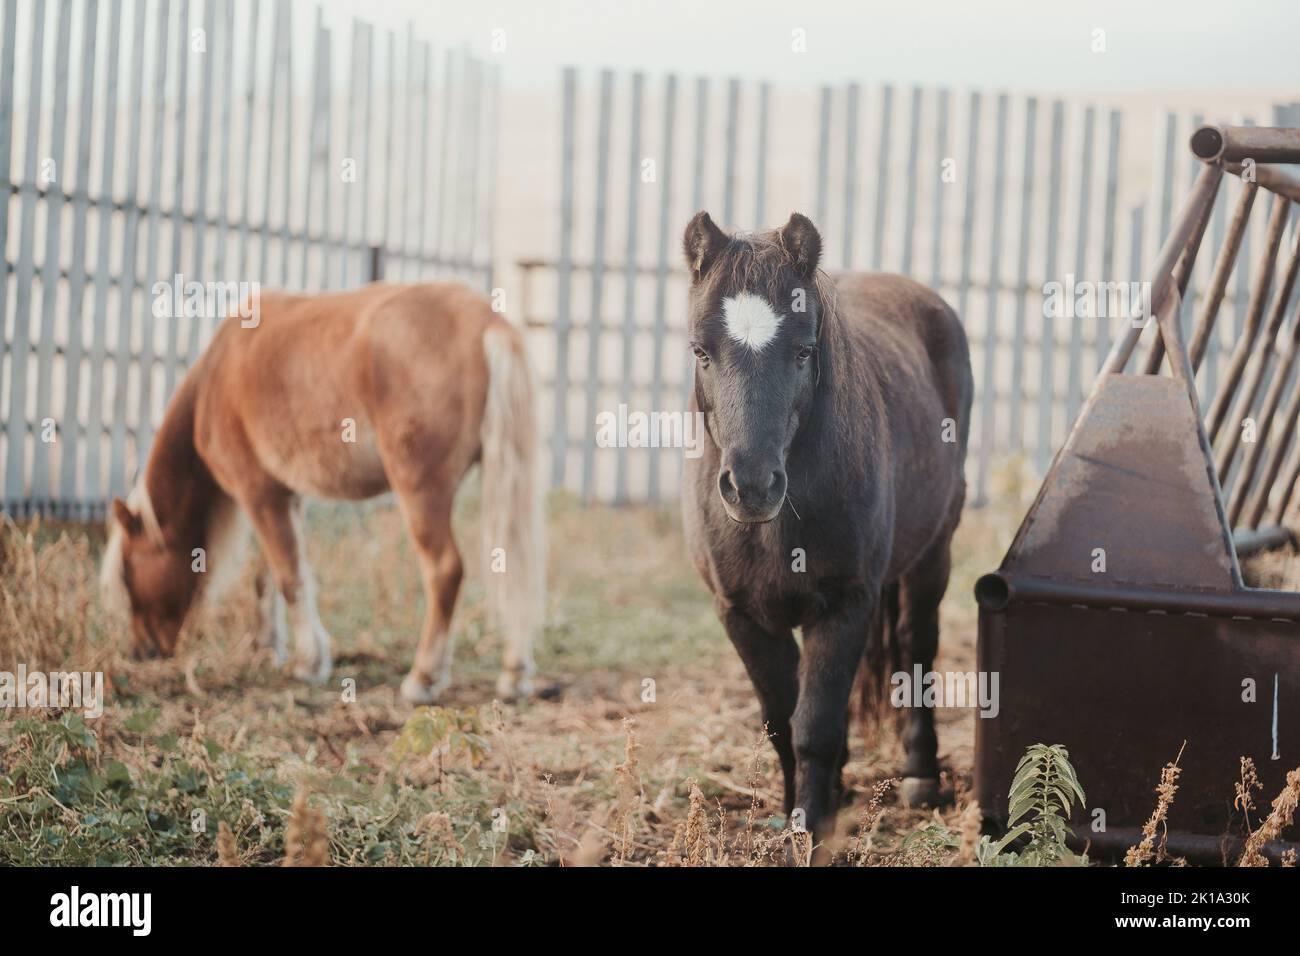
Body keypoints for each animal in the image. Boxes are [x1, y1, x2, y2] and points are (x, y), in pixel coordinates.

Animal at [100, 281, 545, 703]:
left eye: (128, 571)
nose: (141, 651)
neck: (217, 373)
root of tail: (486, 323)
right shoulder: (285, 496)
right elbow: (270, 575)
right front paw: (267, 648)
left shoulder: (258, 493)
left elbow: (289, 577)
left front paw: (309, 662)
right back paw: (514, 674)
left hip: (420, 491)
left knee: (444, 570)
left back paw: (423, 678)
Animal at [680, 211, 972, 854]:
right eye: (701, 351)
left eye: (803, 351)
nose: (752, 484)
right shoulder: (740, 616)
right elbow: (782, 723)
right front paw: (805, 812)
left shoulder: (844, 605)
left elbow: (812, 725)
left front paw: (810, 829)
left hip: (933, 554)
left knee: (917, 644)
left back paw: (920, 775)